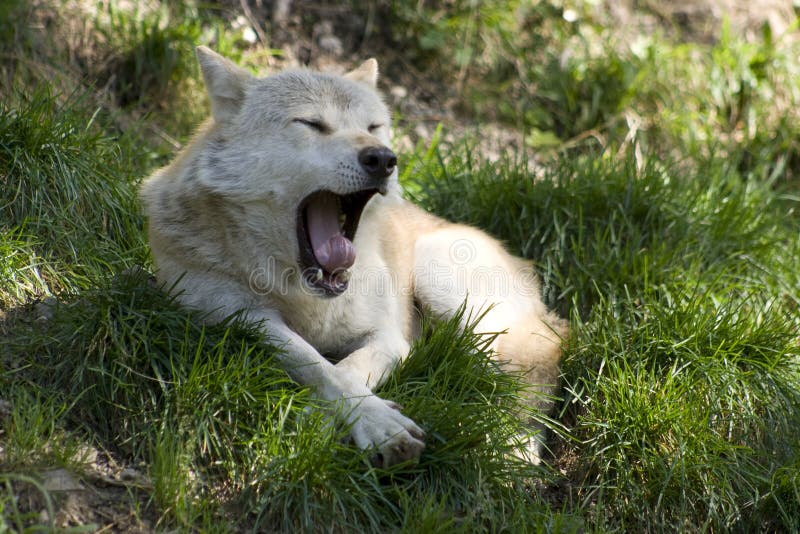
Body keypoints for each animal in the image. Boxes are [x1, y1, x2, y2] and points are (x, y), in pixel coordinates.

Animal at [140, 46, 568, 467]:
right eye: (311, 123)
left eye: (373, 127)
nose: (382, 158)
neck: (306, 296)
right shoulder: (238, 315)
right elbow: (317, 363)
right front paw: (361, 425)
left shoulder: (389, 338)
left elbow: (347, 369)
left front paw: (329, 424)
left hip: (458, 302)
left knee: (529, 373)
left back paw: (515, 448)